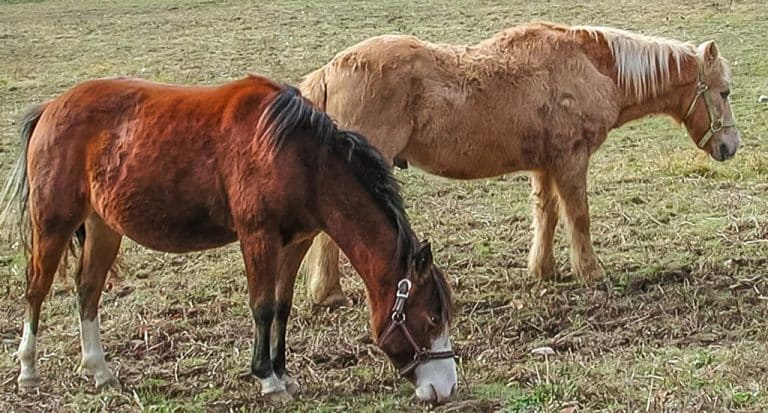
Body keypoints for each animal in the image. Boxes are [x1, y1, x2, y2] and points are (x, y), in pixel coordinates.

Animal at [2, 75, 457, 404]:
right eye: (432, 318)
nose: (446, 389)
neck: (301, 159)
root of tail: (50, 108)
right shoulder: (258, 237)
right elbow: (262, 307)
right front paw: (268, 380)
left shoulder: (295, 242)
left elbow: (282, 307)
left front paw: (284, 372)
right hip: (53, 223)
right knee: (36, 290)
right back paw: (28, 370)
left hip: (103, 227)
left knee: (88, 291)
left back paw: (98, 369)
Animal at [298, 22, 741, 307]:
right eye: (723, 91)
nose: (730, 146)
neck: (591, 67)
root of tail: (330, 70)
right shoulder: (570, 159)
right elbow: (578, 216)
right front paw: (591, 272)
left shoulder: (545, 165)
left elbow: (546, 215)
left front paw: (544, 270)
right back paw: (329, 294)